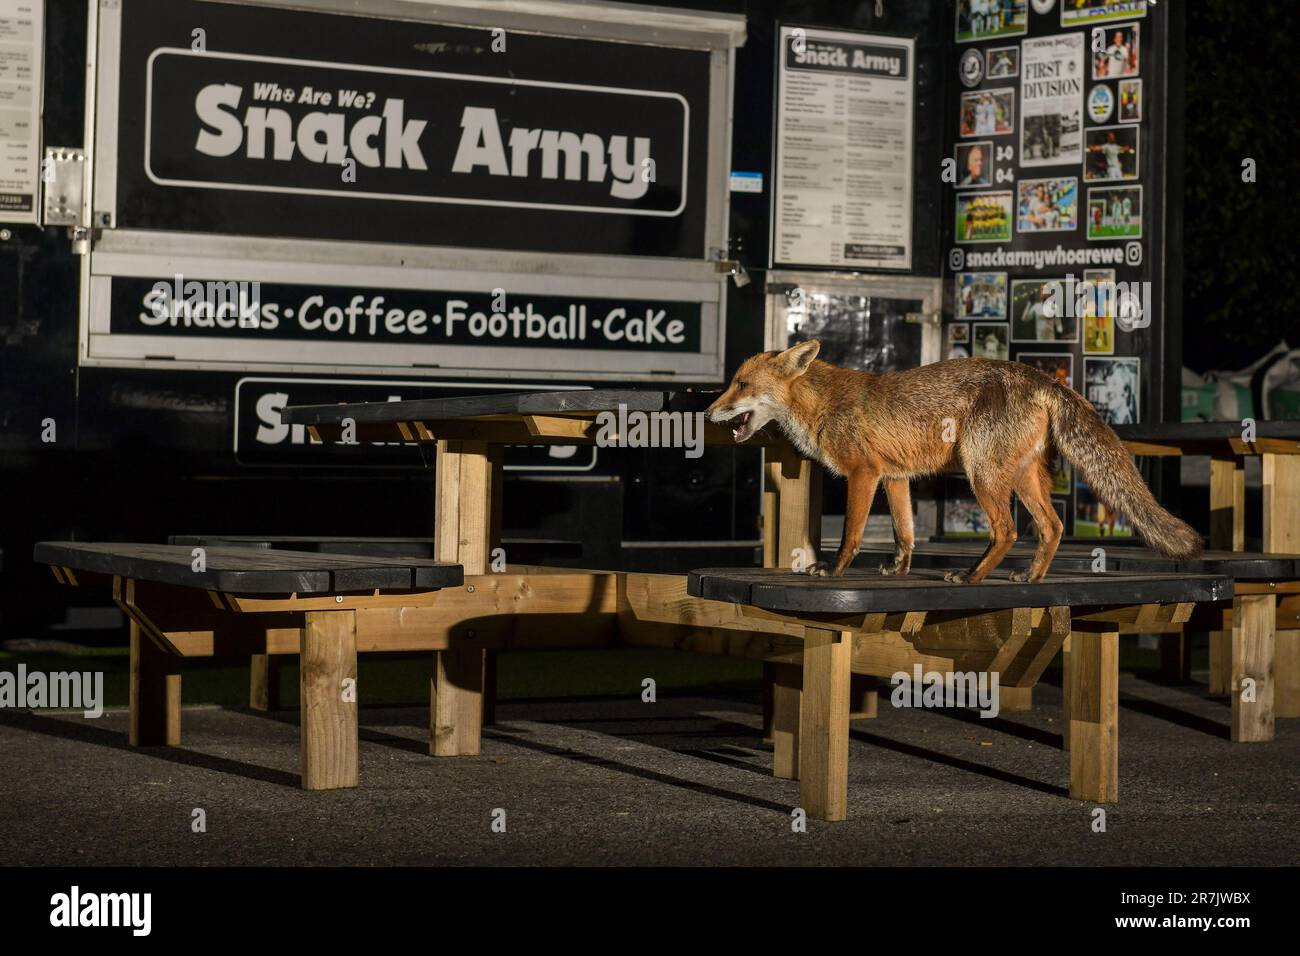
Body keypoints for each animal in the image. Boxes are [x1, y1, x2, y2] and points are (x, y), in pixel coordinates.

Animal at [705, 340, 1202, 583]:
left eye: (742, 384)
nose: (708, 413)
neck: (824, 403)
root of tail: (1040, 376)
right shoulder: (894, 477)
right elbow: (905, 533)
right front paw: (899, 571)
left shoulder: (863, 473)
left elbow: (851, 534)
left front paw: (834, 570)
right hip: (1022, 477)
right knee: (1052, 527)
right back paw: (1031, 577)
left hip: (981, 474)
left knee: (1008, 530)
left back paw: (971, 576)